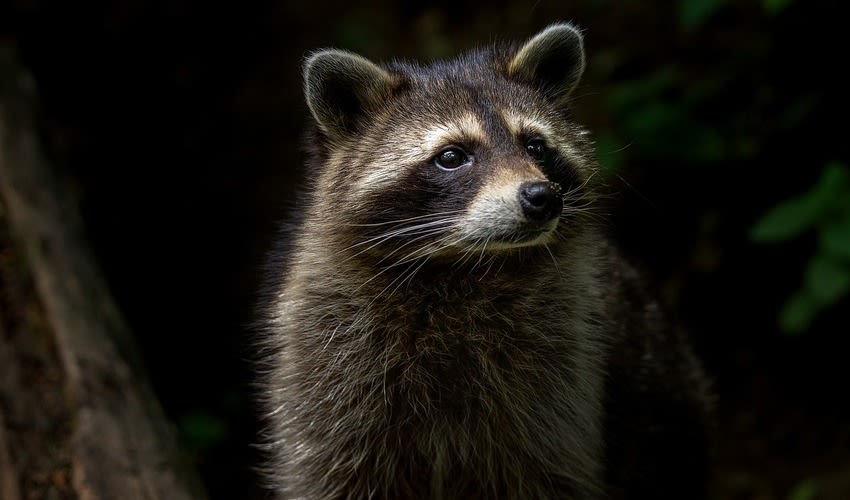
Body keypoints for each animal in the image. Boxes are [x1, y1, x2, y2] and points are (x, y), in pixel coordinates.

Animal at [258, 23, 714, 499]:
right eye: (452, 156)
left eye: (535, 145)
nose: (542, 197)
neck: (465, 266)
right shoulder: (327, 369)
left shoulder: (561, 377)